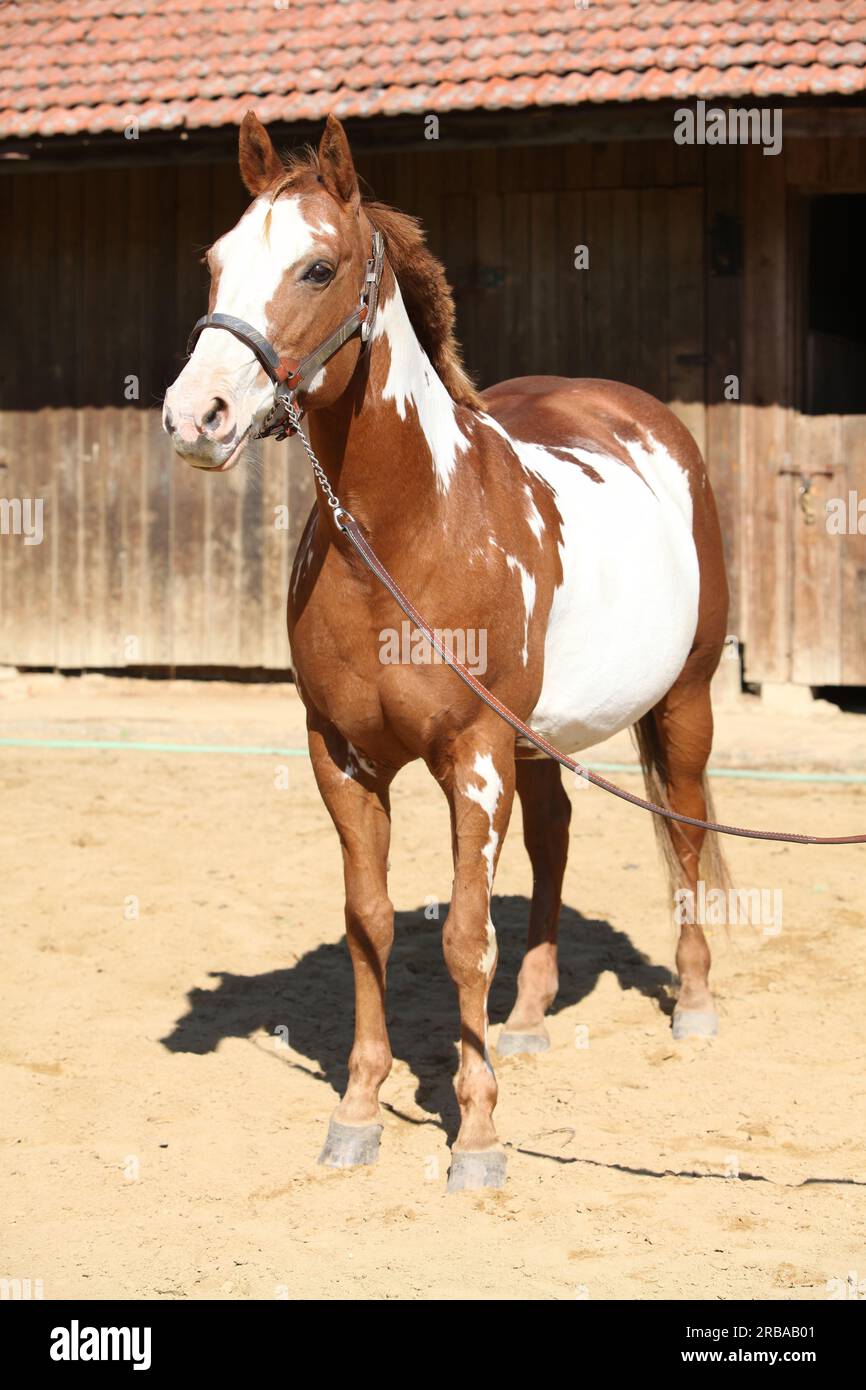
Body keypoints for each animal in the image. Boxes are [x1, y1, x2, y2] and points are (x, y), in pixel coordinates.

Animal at [164, 111, 730, 1192]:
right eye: (214, 261)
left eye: (317, 266)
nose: (194, 416)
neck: (405, 535)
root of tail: (643, 416)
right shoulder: (343, 758)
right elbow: (370, 925)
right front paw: (355, 1114)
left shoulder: (471, 755)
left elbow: (467, 936)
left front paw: (476, 1137)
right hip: (537, 740)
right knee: (554, 844)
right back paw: (529, 1020)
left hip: (681, 702)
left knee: (682, 834)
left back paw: (693, 1006)